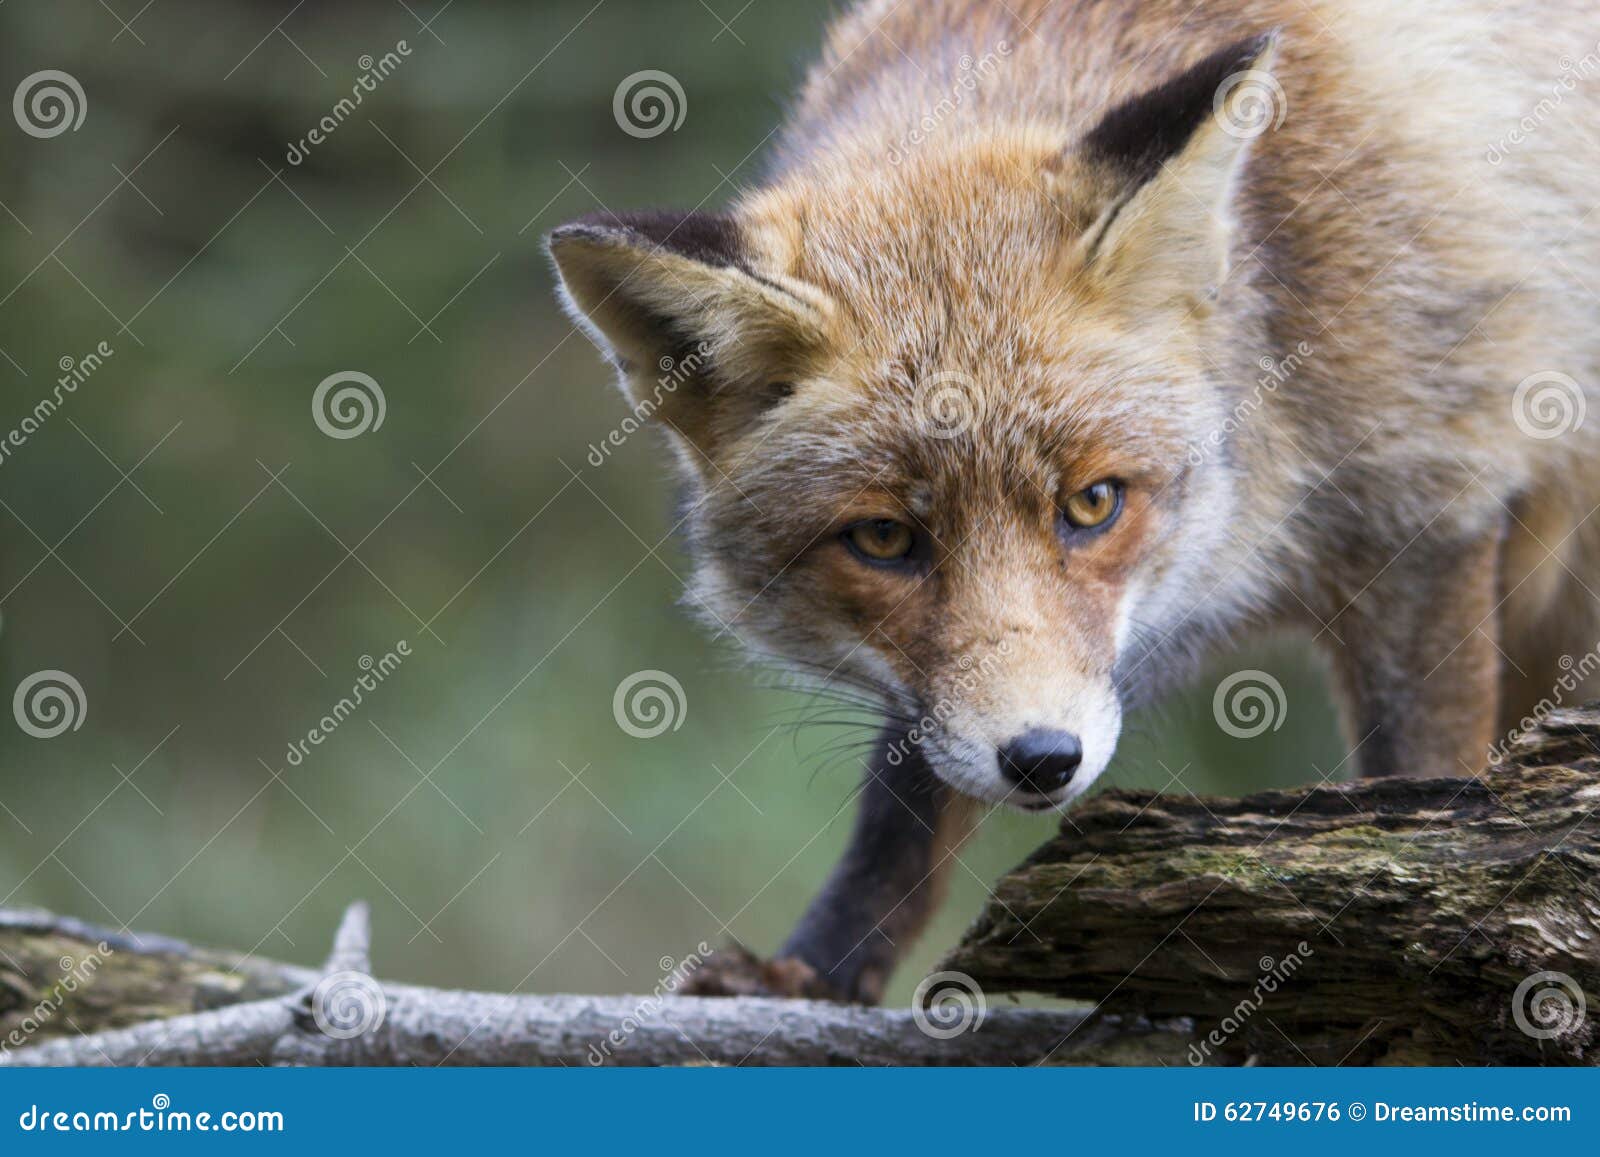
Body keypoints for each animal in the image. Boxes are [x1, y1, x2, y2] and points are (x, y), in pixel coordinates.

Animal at [549, 0, 1600, 1003]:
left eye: (1094, 502)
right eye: (884, 537)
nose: (1043, 760)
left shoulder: (1428, 507)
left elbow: (1426, 785)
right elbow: (904, 805)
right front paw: (816, 967)